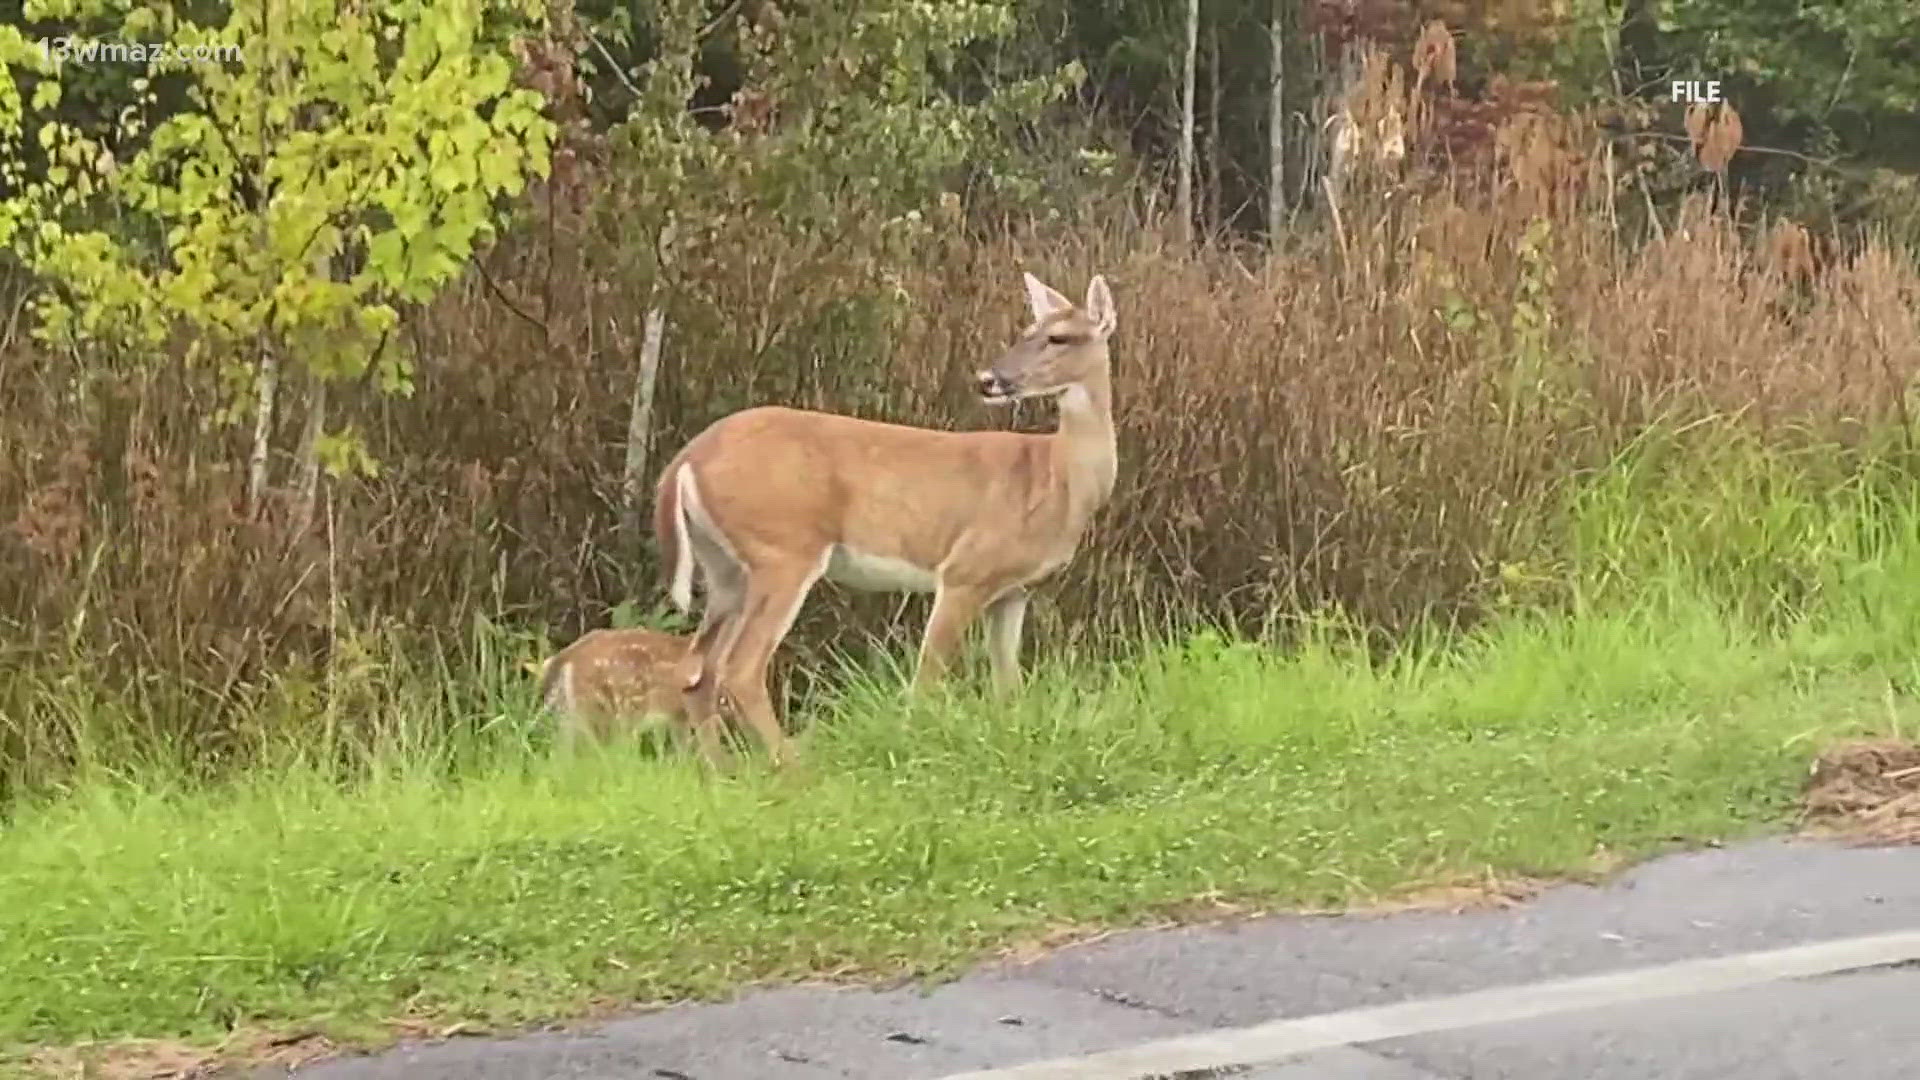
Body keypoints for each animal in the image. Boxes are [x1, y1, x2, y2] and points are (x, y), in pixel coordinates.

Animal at [649, 271, 1120, 769]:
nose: (988, 380)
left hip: (726, 567)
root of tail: (686, 460)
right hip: (783, 549)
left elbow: (1007, 686)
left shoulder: (1014, 591)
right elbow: (927, 678)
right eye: (1029, 330)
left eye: (1057, 336)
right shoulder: (964, 571)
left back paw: (724, 770)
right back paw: (793, 767)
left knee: (698, 668)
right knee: (740, 666)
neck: (1055, 476)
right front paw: (915, 750)